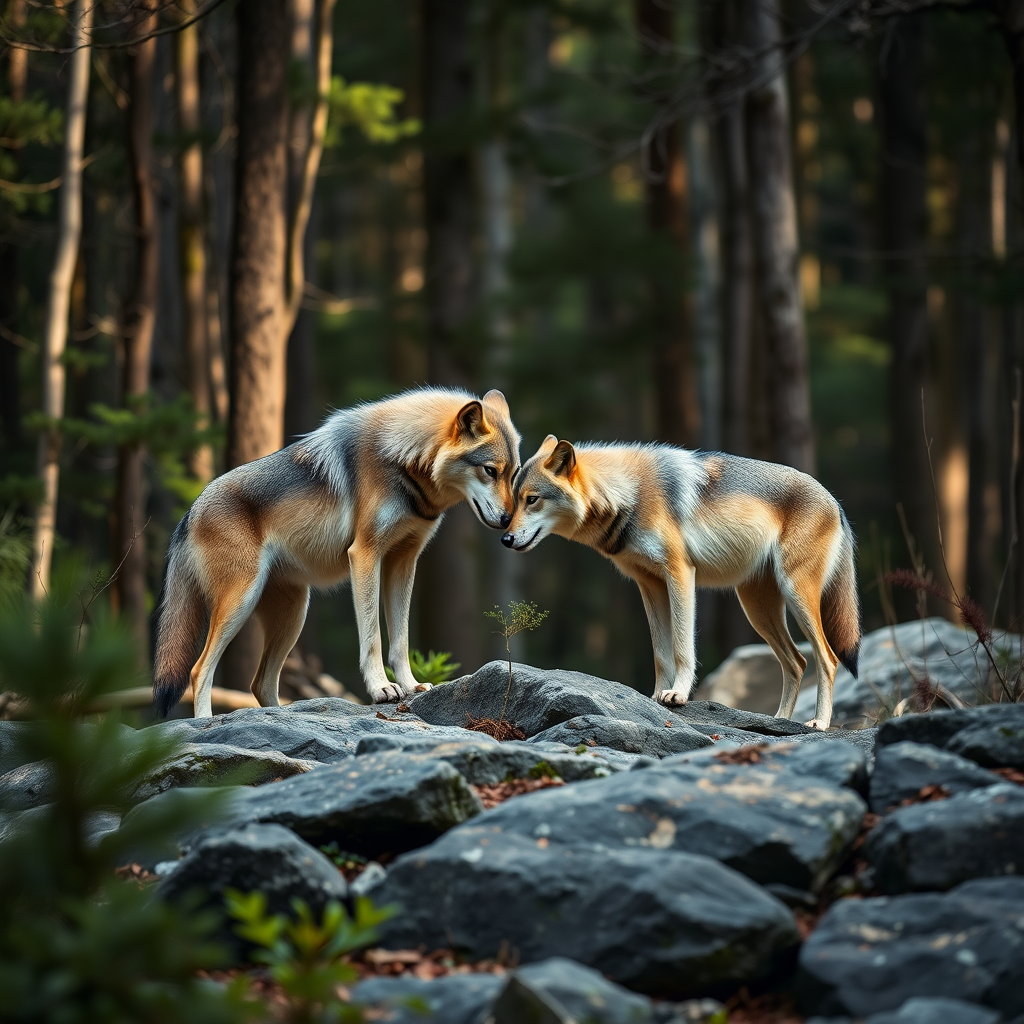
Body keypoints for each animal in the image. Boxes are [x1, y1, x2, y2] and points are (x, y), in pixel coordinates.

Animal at [153, 388, 520, 717]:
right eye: (490, 470)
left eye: (513, 474)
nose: (507, 523)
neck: (403, 459)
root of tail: (189, 512)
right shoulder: (365, 555)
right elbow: (372, 637)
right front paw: (382, 688)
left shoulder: (403, 561)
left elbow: (400, 641)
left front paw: (411, 685)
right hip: (241, 602)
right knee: (199, 670)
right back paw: (205, 724)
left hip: (293, 615)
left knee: (260, 684)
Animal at [500, 436, 860, 729]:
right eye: (515, 500)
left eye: (532, 499)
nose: (505, 537)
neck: (630, 494)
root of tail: (836, 502)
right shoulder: (649, 585)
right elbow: (661, 653)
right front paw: (656, 696)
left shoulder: (680, 574)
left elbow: (682, 647)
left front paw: (678, 694)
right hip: (757, 611)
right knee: (798, 662)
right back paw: (780, 721)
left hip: (795, 597)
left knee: (827, 659)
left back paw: (819, 723)